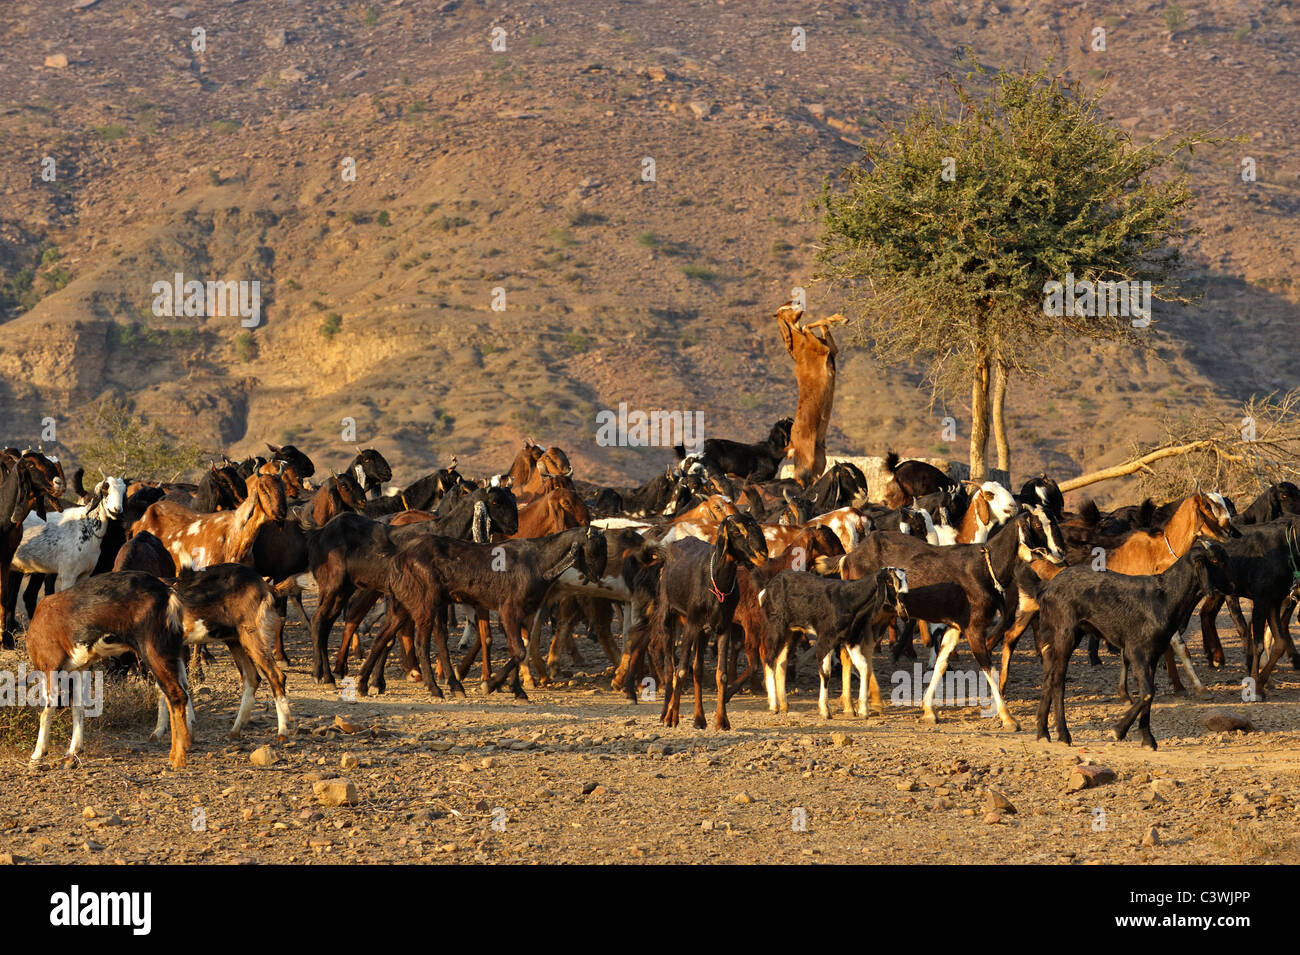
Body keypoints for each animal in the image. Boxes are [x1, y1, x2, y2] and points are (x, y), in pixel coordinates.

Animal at [1035, 541, 1235, 750]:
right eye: (1215, 560)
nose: (1233, 586)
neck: (1165, 598)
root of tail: (1047, 590)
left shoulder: (1153, 654)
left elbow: (1148, 693)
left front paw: (1147, 739)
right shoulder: (1136, 651)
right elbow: (1147, 693)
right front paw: (1118, 731)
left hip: (1055, 639)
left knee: (1048, 679)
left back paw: (1043, 733)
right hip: (1065, 634)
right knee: (1057, 681)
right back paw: (1063, 734)